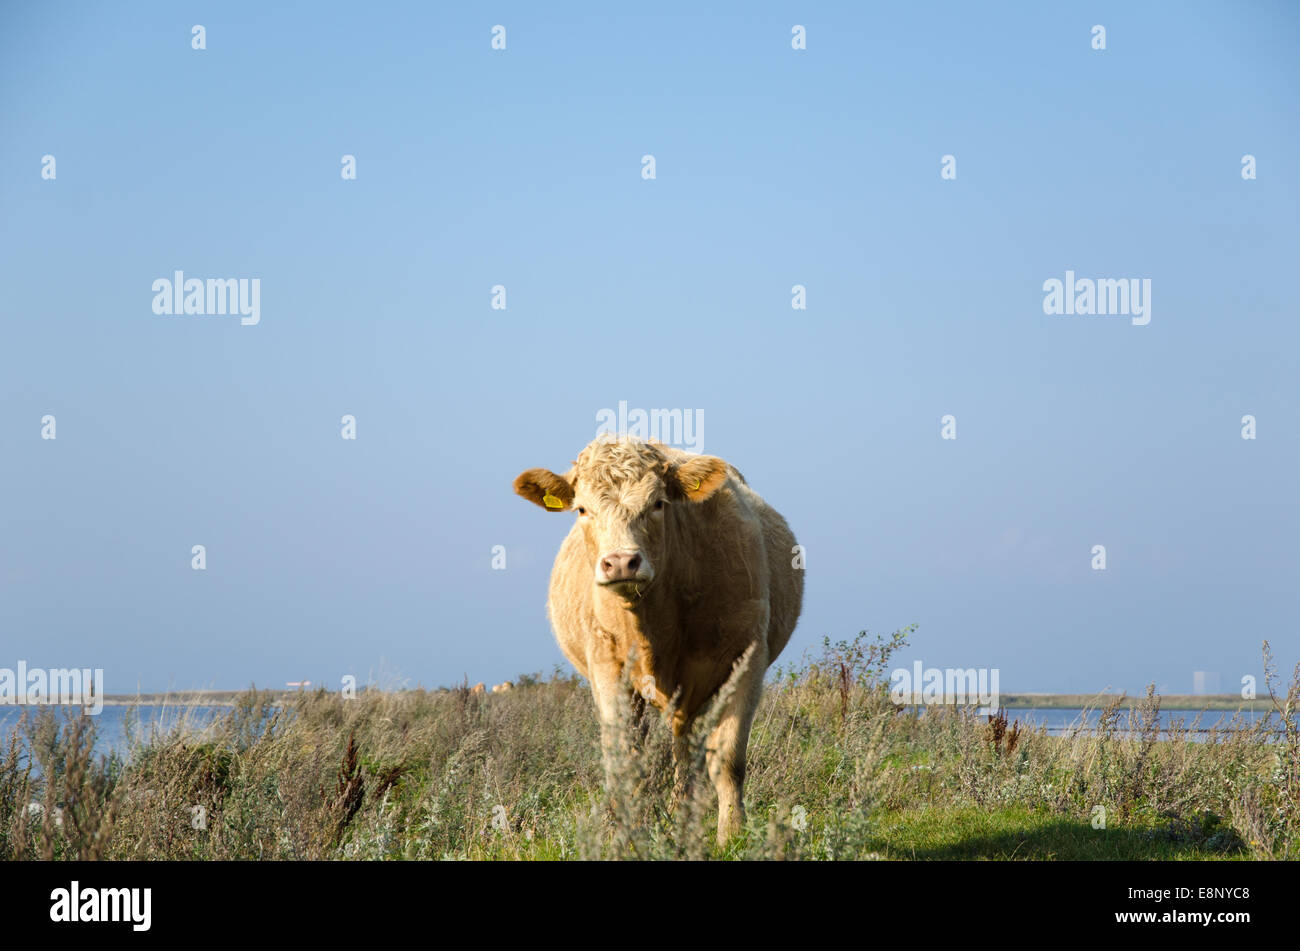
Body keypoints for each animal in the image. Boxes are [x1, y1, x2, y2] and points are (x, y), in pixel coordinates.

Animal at [513, 435, 803, 843]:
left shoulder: (747, 658)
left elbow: (728, 758)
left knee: (687, 749)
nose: (621, 562)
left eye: (657, 504)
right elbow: (626, 759)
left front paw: (732, 835)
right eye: (582, 509)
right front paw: (627, 834)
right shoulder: (607, 667)